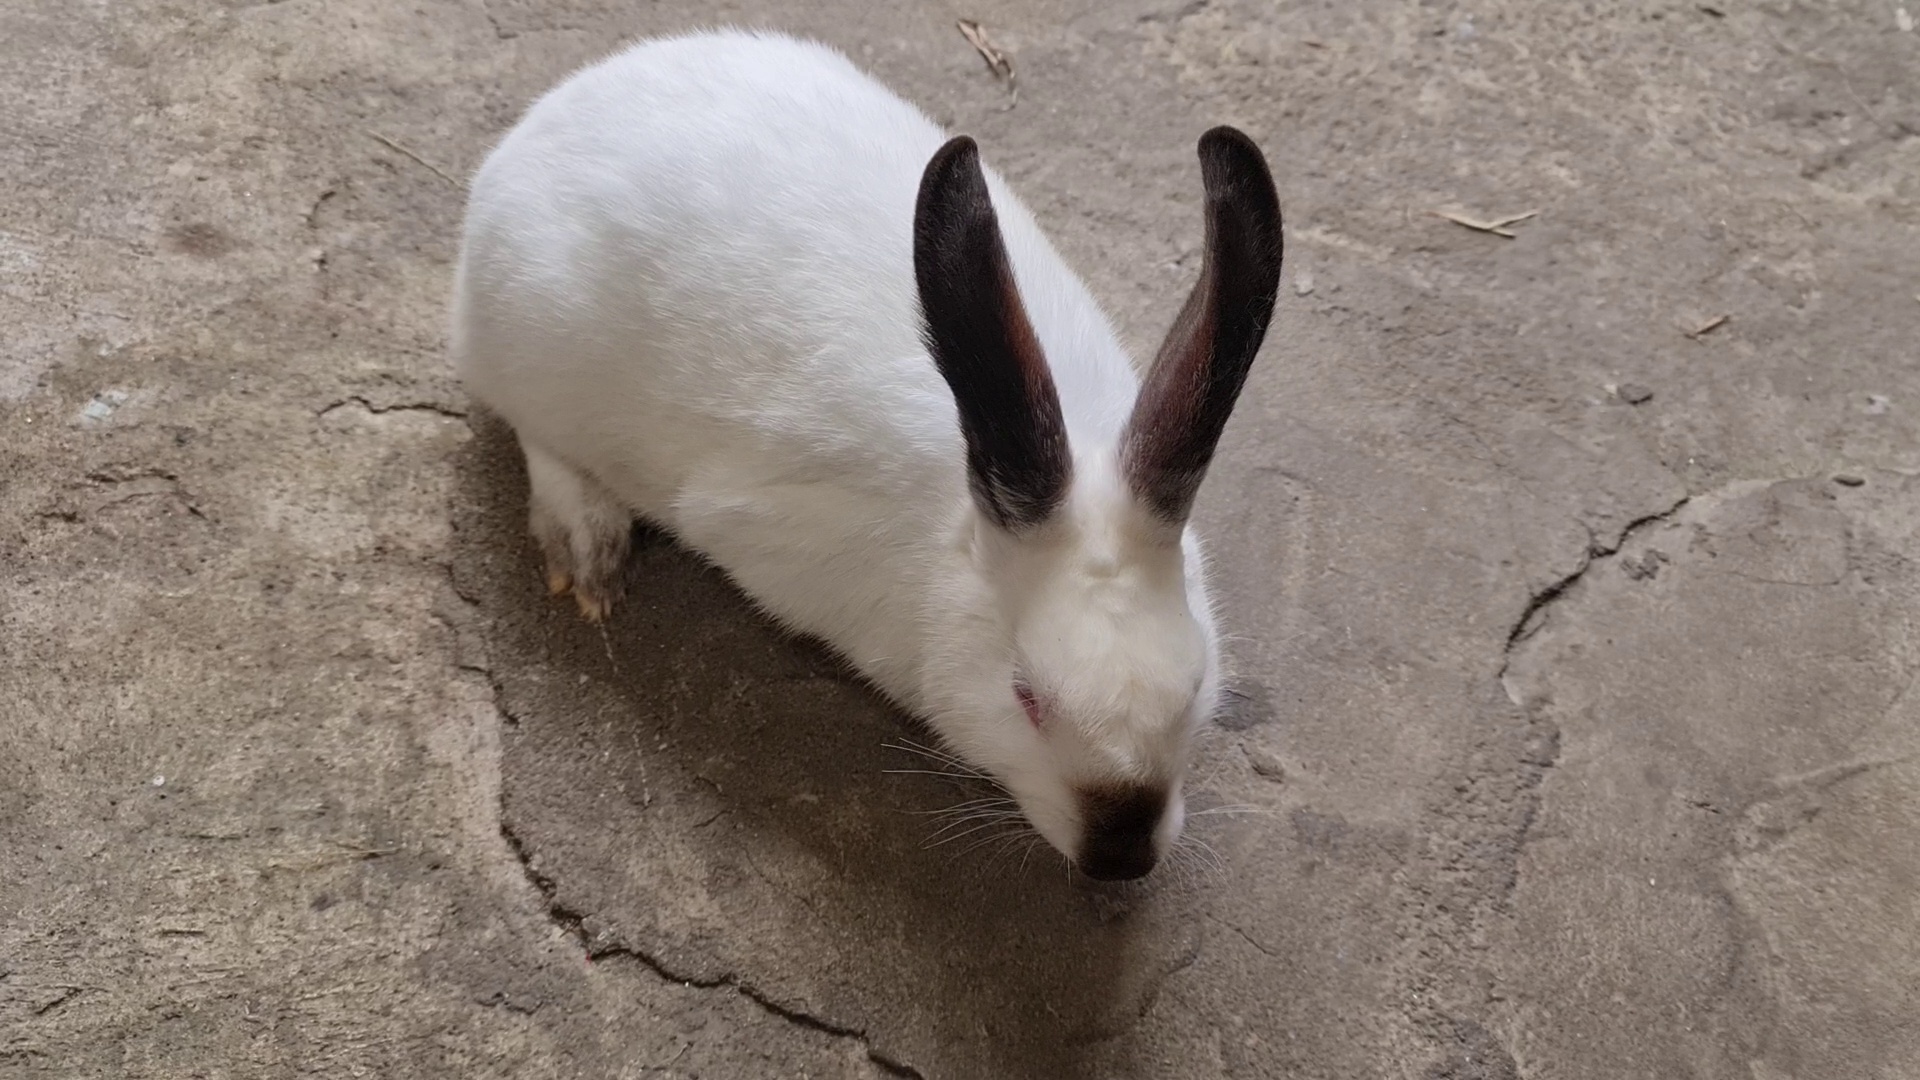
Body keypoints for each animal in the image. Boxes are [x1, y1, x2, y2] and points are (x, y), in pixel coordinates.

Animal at [451, 29, 1282, 881]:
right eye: (1026, 696)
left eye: (1194, 686)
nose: (1120, 858)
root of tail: (538, 128)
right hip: (532, 350)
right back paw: (588, 548)